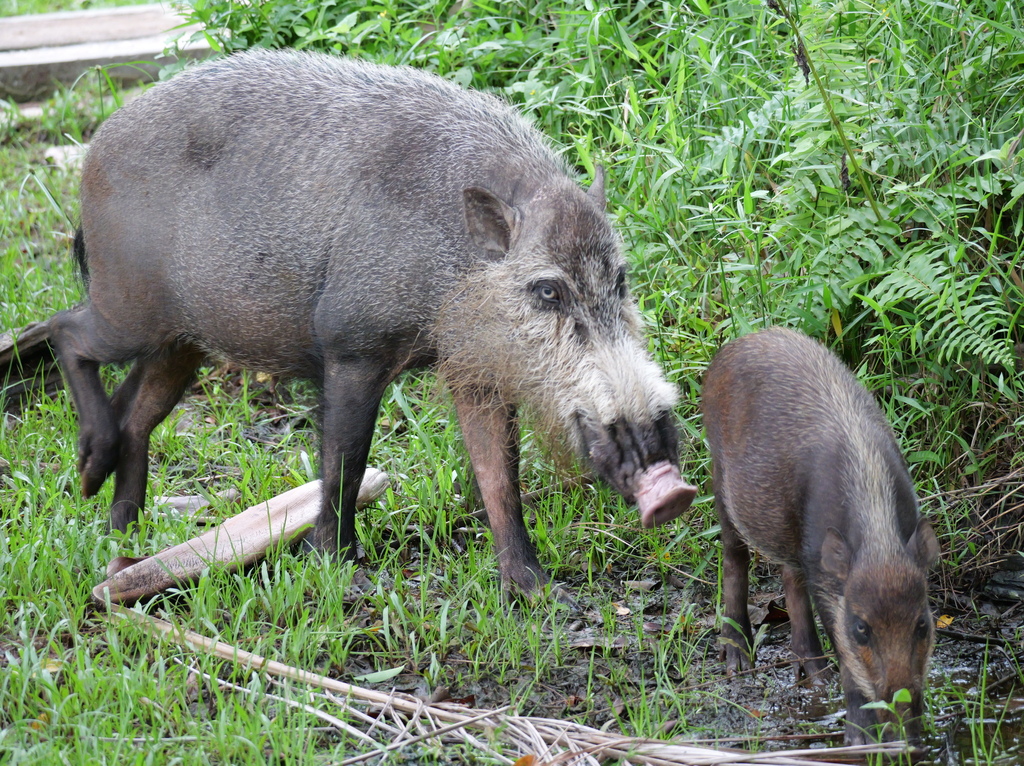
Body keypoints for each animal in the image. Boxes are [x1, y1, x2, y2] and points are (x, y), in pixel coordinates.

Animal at [49, 48, 696, 596]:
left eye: (620, 280)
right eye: (547, 290)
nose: (673, 490)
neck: (454, 274)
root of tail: (93, 151)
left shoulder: (475, 372)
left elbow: (499, 478)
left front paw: (536, 590)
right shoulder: (353, 348)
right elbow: (346, 464)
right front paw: (339, 570)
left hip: (182, 342)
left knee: (137, 413)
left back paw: (121, 533)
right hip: (127, 307)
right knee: (65, 333)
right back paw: (89, 476)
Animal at [701, 327, 940, 745]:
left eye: (923, 624)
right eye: (861, 629)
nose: (906, 734)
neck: (878, 542)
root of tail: (736, 345)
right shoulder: (825, 572)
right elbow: (845, 654)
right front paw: (859, 742)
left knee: (789, 579)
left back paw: (815, 674)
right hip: (719, 477)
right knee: (734, 558)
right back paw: (737, 660)